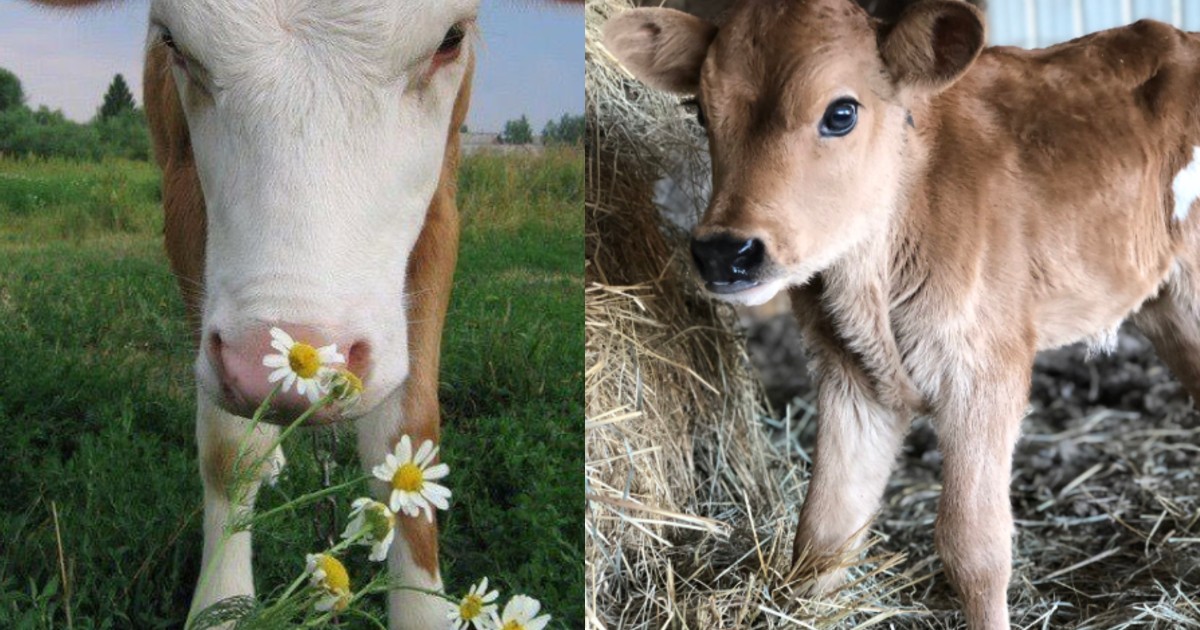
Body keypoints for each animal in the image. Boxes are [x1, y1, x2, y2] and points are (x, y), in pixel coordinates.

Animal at [25, 0, 576, 628]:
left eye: (451, 39)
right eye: (172, 43)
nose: (282, 360)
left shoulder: (443, 200)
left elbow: (407, 433)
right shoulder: (182, 196)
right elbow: (228, 446)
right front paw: (224, 604)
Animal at [604, 0, 1200, 627]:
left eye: (841, 112)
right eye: (699, 112)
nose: (725, 251)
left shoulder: (984, 369)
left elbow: (974, 548)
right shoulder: (849, 376)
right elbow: (825, 531)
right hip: (1167, 306)